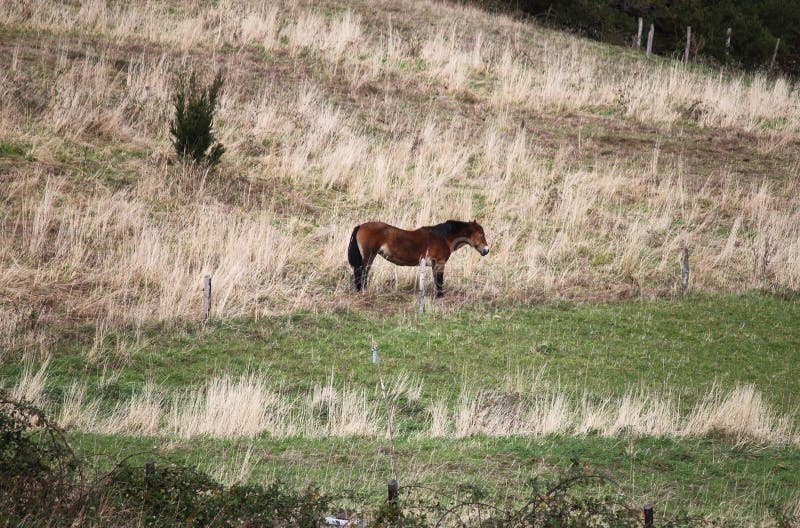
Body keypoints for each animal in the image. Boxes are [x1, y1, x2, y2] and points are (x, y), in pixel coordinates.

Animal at [347, 220, 489, 297]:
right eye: (481, 235)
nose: (486, 250)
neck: (443, 237)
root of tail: (361, 226)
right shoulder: (440, 263)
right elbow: (439, 280)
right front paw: (440, 296)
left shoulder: (433, 264)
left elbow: (436, 280)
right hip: (369, 256)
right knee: (362, 273)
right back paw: (362, 290)